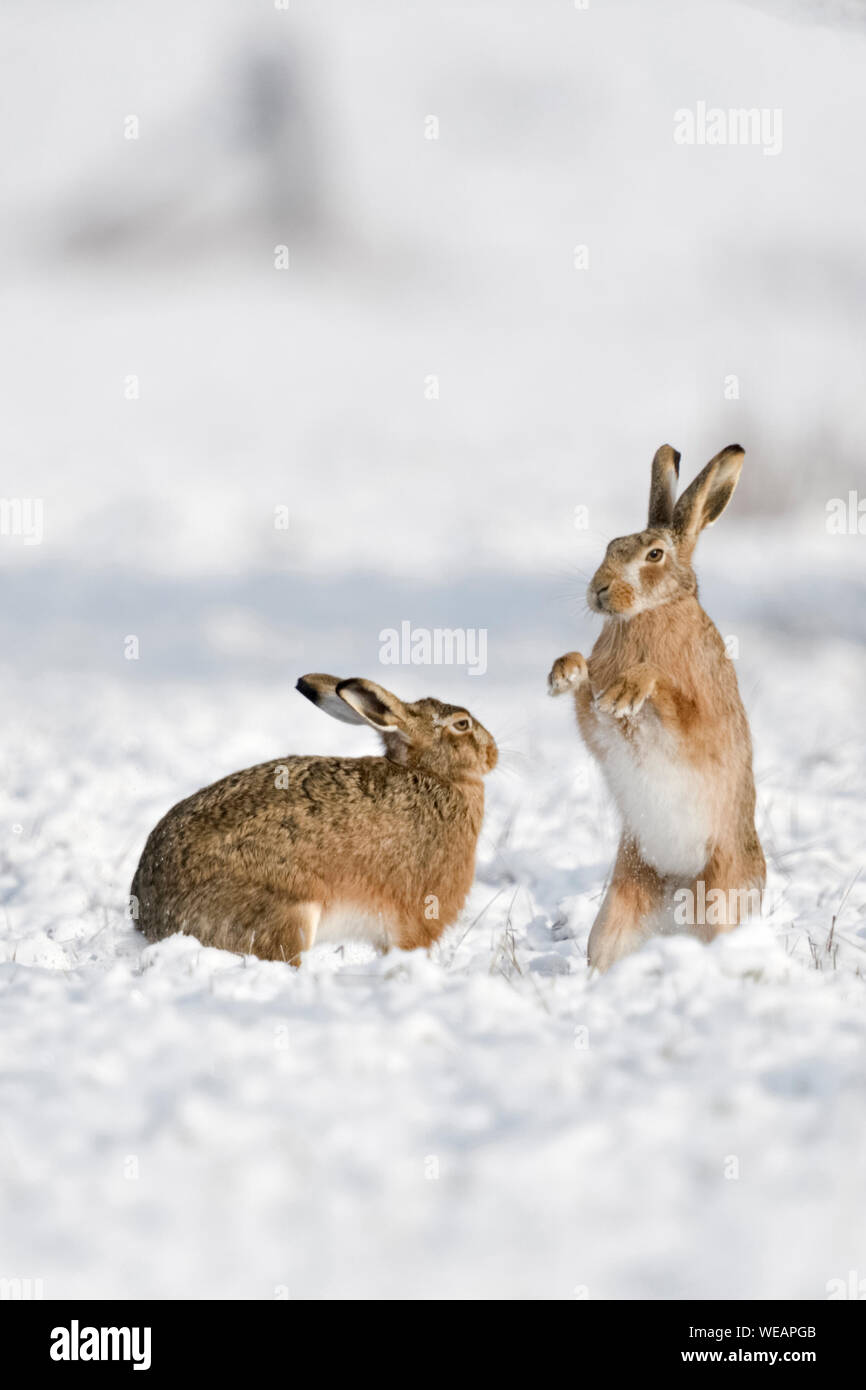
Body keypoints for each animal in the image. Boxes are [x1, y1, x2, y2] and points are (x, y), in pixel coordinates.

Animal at [131, 675, 498, 965]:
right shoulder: (418, 918)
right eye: (462, 724)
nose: (492, 753)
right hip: (289, 916)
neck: (433, 776)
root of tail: (149, 917)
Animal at [547, 444, 765, 971]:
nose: (600, 590)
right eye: (610, 546)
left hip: (721, 891)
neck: (647, 612)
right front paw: (565, 671)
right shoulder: (599, 729)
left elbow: (667, 692)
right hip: (625, 895)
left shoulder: (700, 725)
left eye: (654, 555)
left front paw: (629, 689)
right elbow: (588, 696)